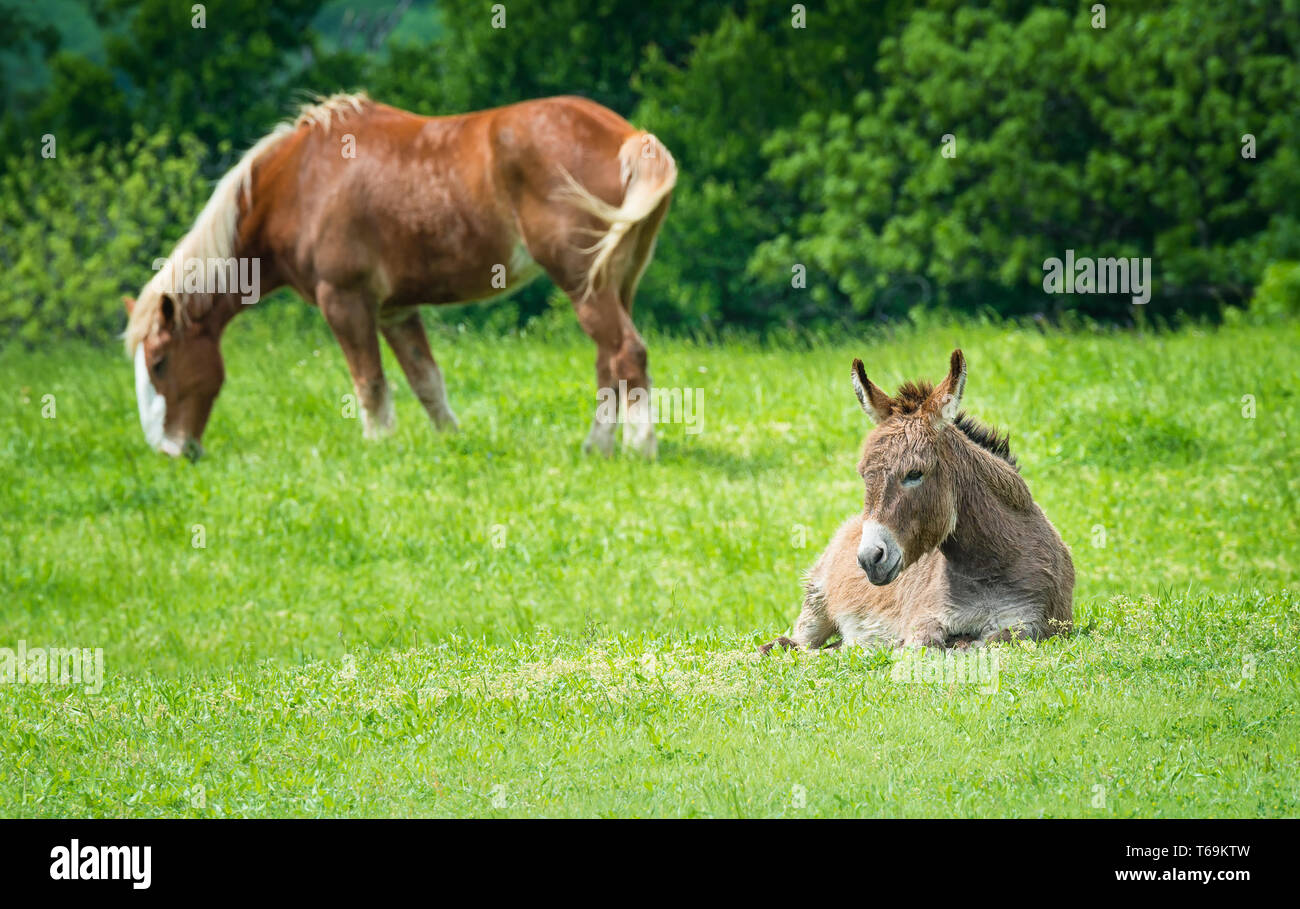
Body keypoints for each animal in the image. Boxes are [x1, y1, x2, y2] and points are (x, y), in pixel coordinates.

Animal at [123, 93, 676, 460]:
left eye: (160, 362)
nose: (170, 451)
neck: (301, 181)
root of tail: (630, 137)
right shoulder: (396, 311)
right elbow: (426, 381)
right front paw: (451, 442)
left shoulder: (345, 301)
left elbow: (370, 383)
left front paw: (378, 449)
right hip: (615, 284)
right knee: (609, 362)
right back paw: (597, 446)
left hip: (584, 283)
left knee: (627, 353)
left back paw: (640, 446)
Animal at [762, 350, 1074, 652]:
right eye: (864, 475)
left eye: (915, 473)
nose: (869, 558)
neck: (987, 568)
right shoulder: (923, 618)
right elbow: (925, 645)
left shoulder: (1033, 623)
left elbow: (991, 641)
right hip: (816, 601)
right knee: (796, 645)